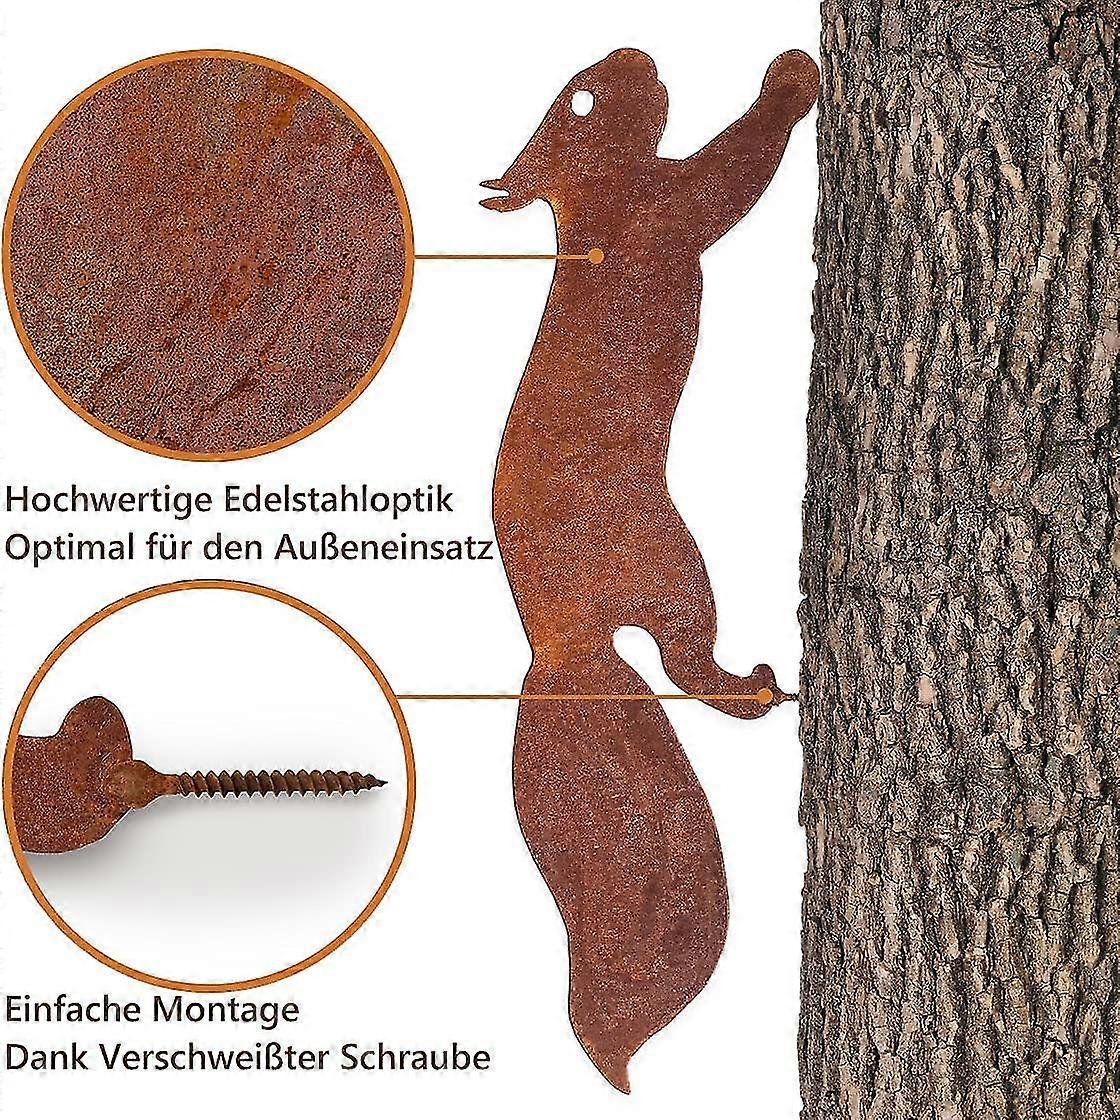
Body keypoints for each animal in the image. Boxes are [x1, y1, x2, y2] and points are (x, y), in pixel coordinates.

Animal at [483, 47, 819, 1092]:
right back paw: (758, 688)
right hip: (674, 566)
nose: (637, 53)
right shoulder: (665, 207)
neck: (590, 203)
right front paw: (792, 79)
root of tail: (558, 650)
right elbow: (729, 174)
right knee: (687, 665)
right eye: (585, 98)